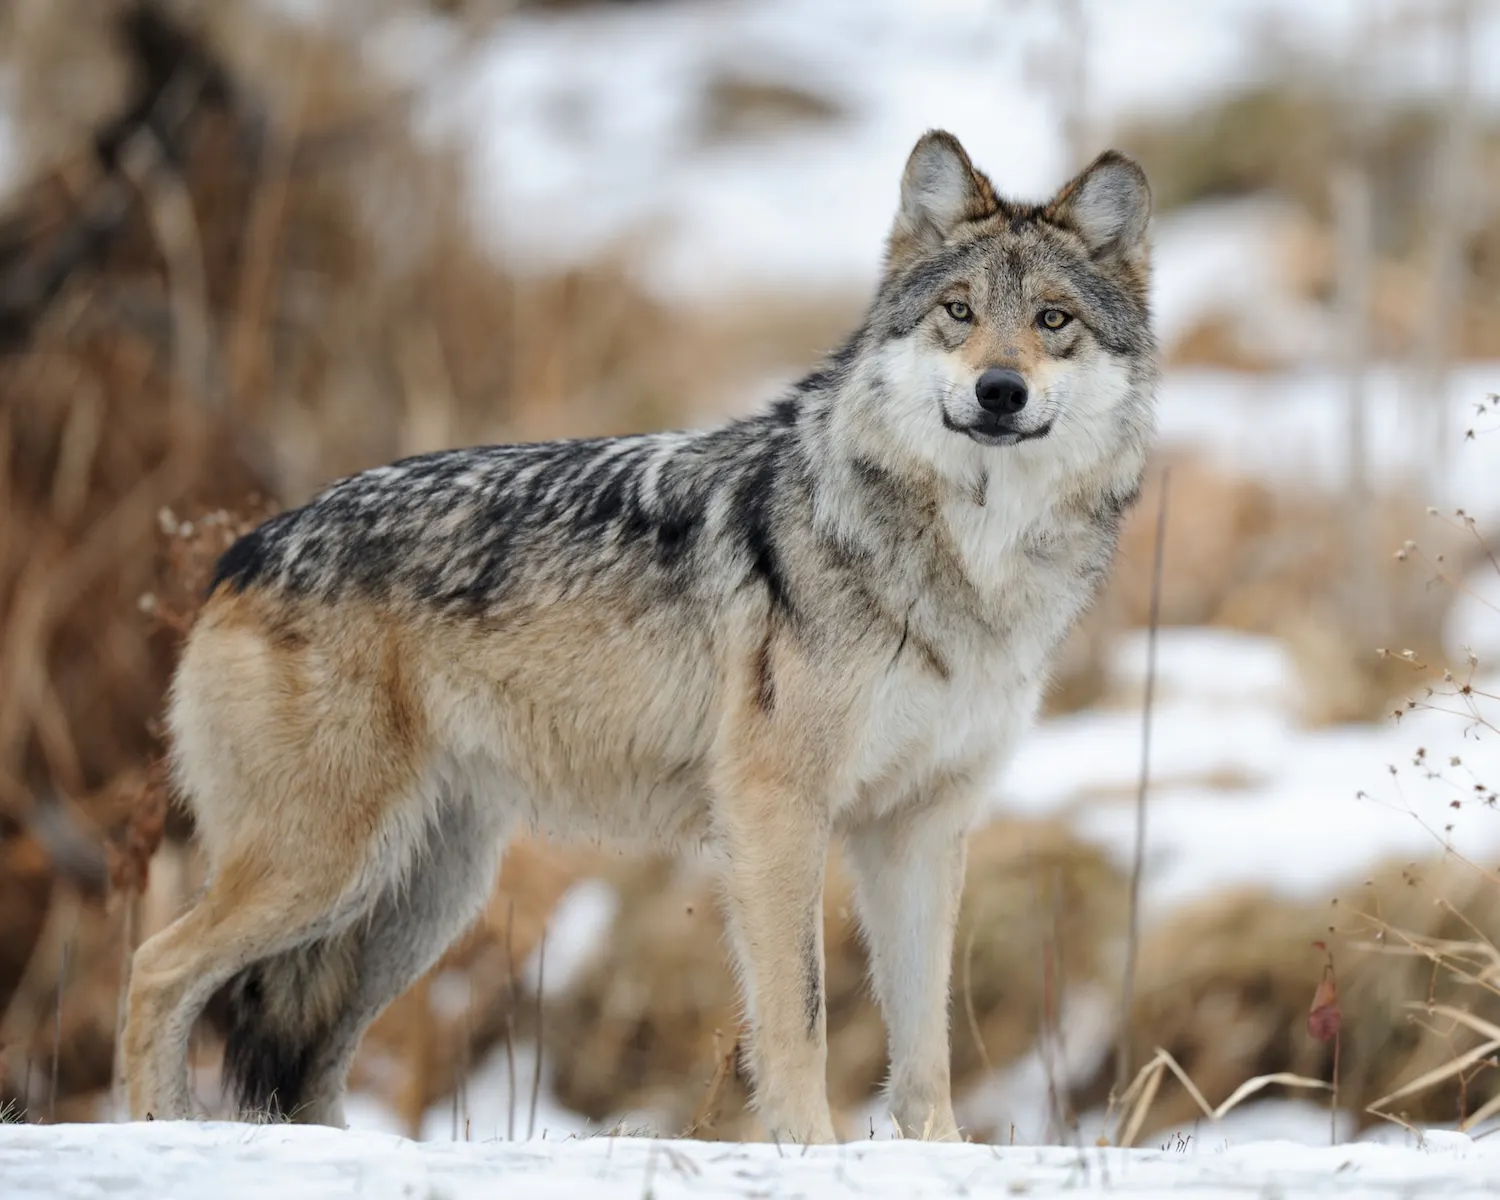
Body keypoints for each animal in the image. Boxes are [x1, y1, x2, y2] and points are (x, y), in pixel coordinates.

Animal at [122, 130, 1156, 1143]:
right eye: (958, 311)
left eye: (1053, 320)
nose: (998, 390)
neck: (971, 565)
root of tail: (245, 551)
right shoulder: (776, 809)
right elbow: (801, 1016)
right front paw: (810, 1152)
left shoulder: (923, 826)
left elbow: (925, 1040)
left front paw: (935, 1156)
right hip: (325, 869)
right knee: (154, 969)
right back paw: (158, 1128)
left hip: (415, 900)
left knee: (307, 1068)